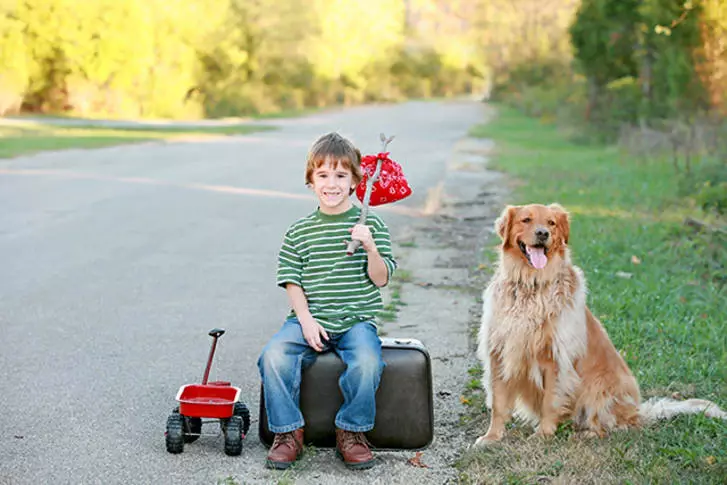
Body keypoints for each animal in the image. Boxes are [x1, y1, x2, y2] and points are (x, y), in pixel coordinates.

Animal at [474, 202, 724, 444]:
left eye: (551, 223)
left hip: (600, 387)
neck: (531, 284)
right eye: (526, 220)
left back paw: (588, 433)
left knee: (616, 425)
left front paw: (543, 434)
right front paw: (492, 436)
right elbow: (498, 403)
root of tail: (638, 410)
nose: (543, 233)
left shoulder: (555, 358)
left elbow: (550, 402)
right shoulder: (499, 351)